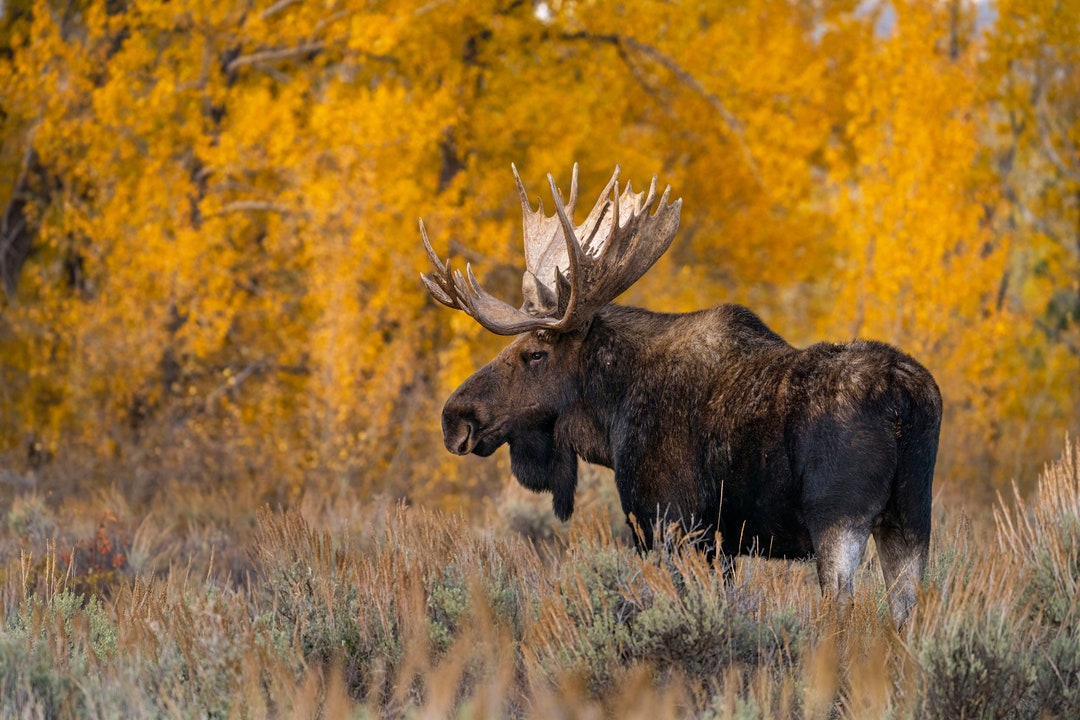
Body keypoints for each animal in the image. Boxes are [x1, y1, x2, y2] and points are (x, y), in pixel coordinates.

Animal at [420, 165, 942, 625]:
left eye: (535, 353)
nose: (454, 417)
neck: (610, 416)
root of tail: (905, 401)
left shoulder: (669, 523)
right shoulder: (718, 542)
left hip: (838, 519)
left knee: (844, 614)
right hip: (911, 518)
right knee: (905, 616)